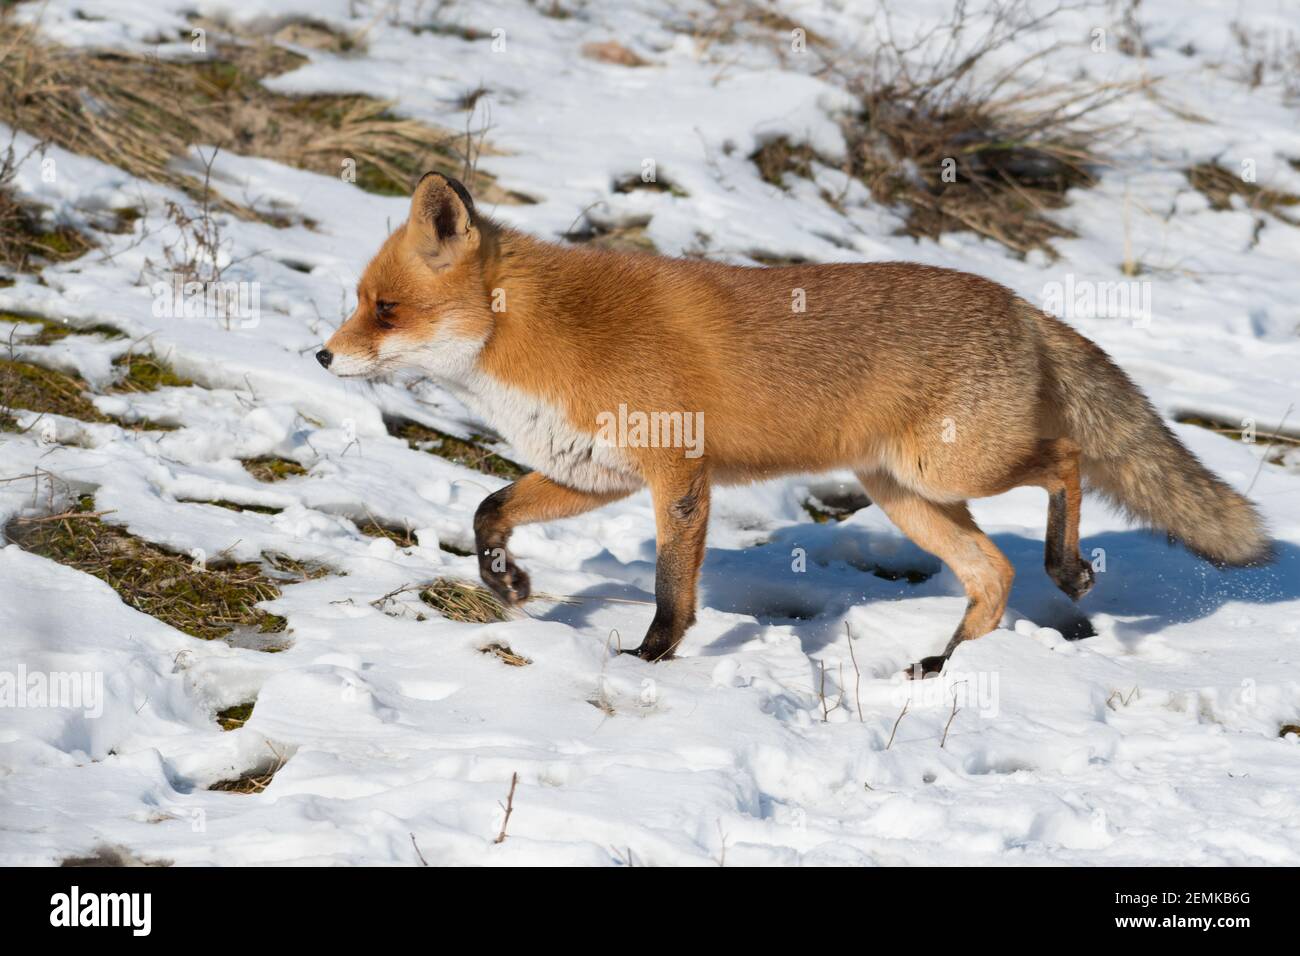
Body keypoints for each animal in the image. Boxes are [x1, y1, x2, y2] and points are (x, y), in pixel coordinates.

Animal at [319, 171, 1271, 676]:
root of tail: (1021, 303)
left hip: (949, 470)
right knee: (993, 575)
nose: (323, 357)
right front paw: (507, 585)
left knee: (1067, 460)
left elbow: (671, 586)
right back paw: (942, 666)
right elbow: (488, 513)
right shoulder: (594, 473)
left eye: (386, 309)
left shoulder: (677, 474)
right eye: (360, 303)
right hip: (907, 496)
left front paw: (654, 655)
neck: (540, 340)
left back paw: (1067, 569)